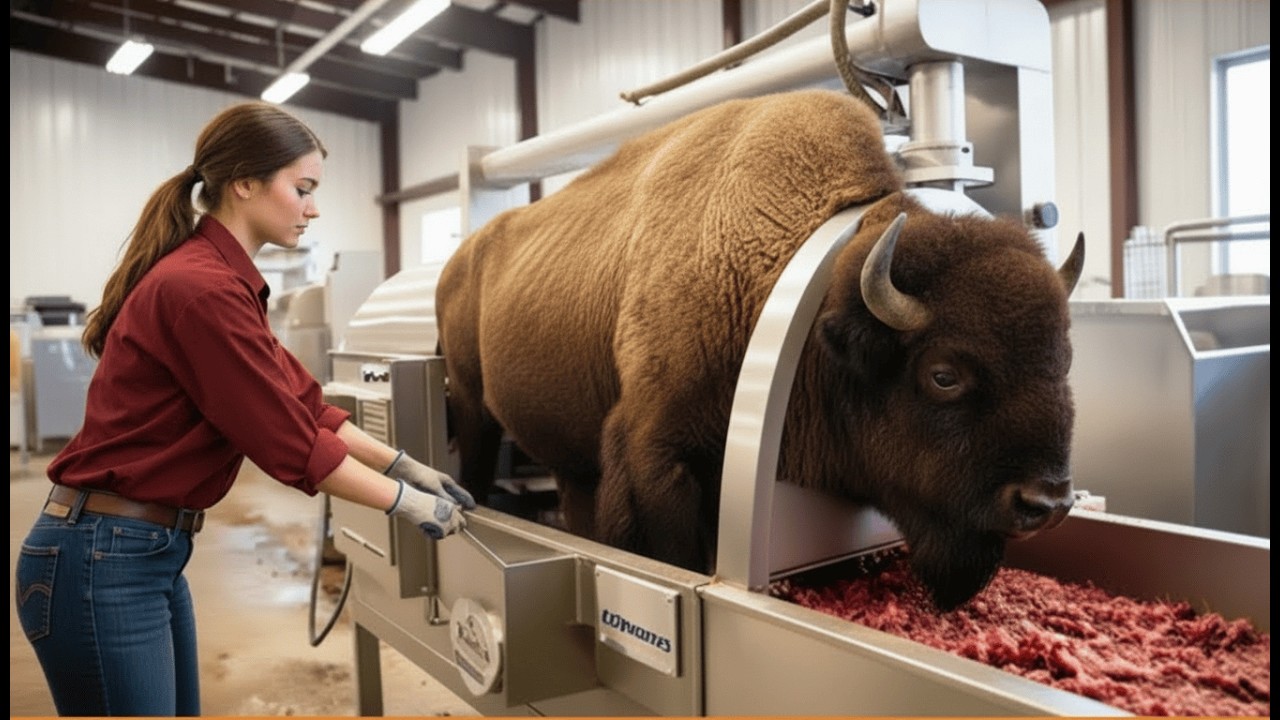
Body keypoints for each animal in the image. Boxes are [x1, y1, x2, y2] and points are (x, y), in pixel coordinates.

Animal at [436, 88, 1084, 609]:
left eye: (1064, 361)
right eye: (943, 374)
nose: (1047, 501)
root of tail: (457, 260)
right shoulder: (655, 452)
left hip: (570, 458)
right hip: (470, 403)